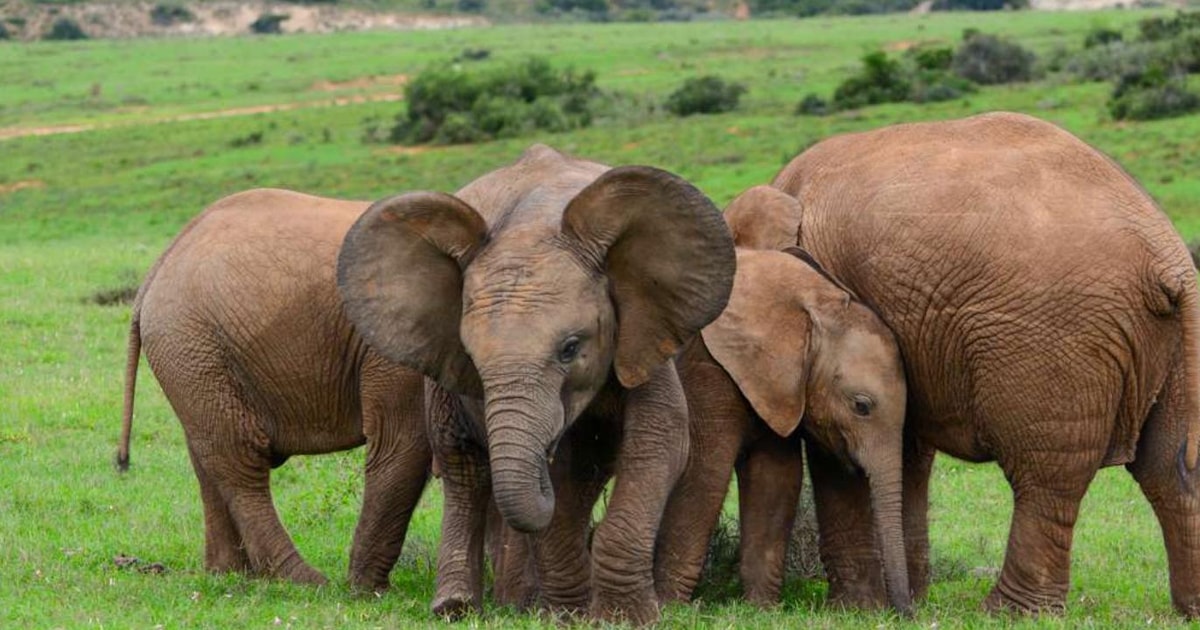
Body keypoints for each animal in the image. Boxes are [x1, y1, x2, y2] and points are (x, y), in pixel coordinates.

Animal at [118, 189, 431, 590]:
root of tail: (160, 263)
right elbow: (404, 440)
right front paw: (369, 590)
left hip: (194, 355)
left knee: (207, 455)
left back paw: (230, 574)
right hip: (192, 342)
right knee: (239, 457)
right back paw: (305, 580)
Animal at [335, 144, 736, 625]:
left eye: (570, 348)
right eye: (472, 356)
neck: (532, 225)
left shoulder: (642, 328)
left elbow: (660, 439)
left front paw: (623, 618)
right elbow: (558, 477)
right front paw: (569, 617)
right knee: (463, 466)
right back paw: (459, 608)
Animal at [653, 246, 911, 613]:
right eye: (862, 406)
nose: (905, 612)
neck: (814, 302)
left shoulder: (777, 386)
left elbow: (775, 477)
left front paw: (760, 609)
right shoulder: (708, 364)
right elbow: (704, 473)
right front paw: (670, 606)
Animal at [723, 111, 1200, 617]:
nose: (905, 614)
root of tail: (1168, 259)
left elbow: (835, 454)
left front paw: (856, 610)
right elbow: (904, 451)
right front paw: (896, 600)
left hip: (1056, 339)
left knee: (1047, 476)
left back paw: (1007, 612)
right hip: (1169, 344)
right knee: (1168, 470)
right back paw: (1188, 608)